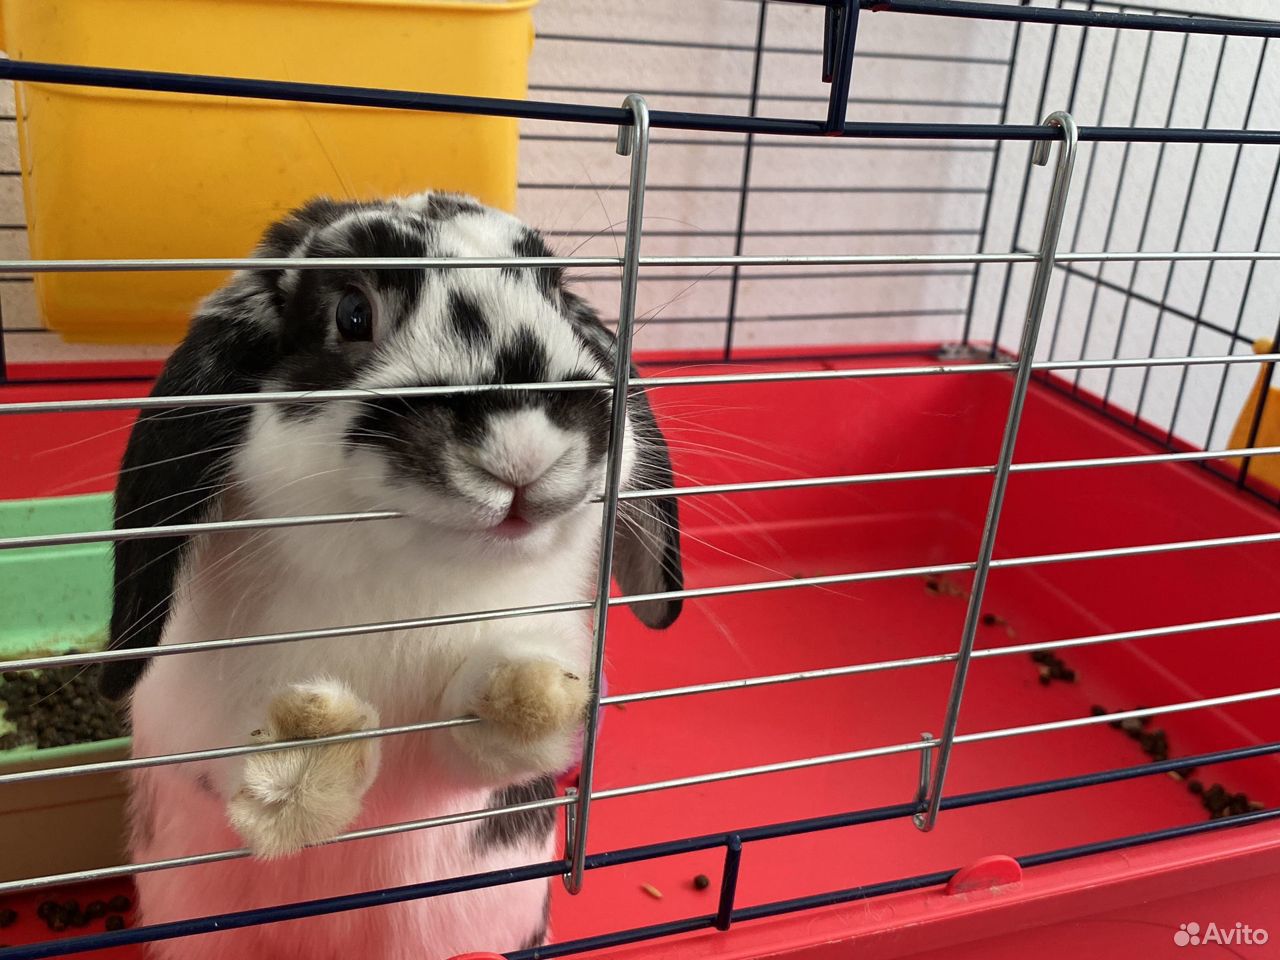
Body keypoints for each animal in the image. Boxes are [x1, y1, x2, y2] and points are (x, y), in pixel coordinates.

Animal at [105, 191, 684, 960]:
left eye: (556, 294)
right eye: (353, 314)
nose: (524, 449)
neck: (416, 585)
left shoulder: (462, 778)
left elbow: (482, 742)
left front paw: (530, 689)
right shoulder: (190, 713)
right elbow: (237, 764)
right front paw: (307, 742)